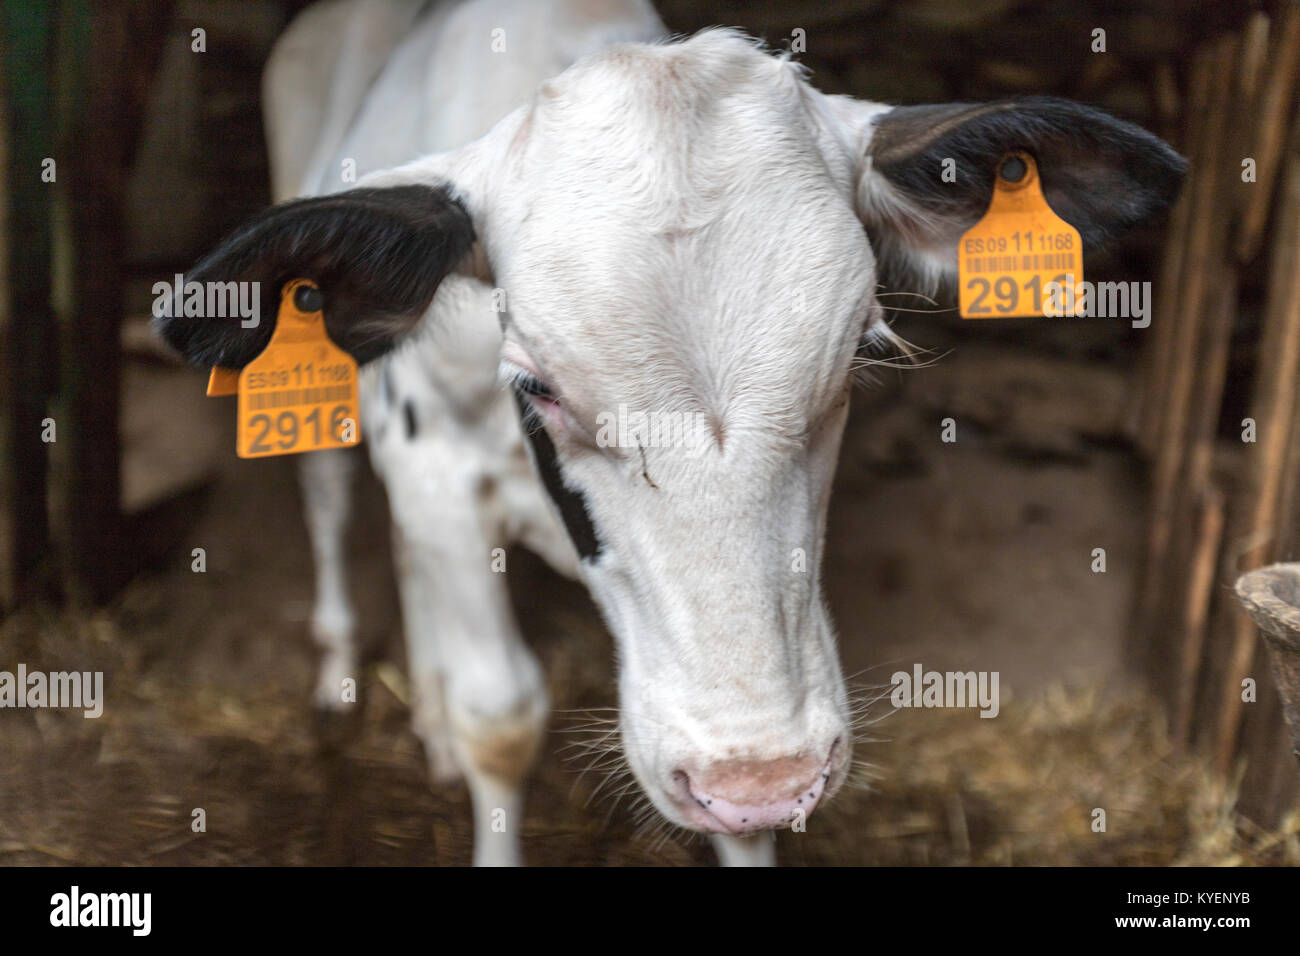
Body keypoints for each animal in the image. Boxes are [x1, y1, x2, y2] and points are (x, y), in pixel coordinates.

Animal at [156, 0, 1185, 866]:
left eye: (858, 349)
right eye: (536, 384)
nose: (760, 776)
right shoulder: (438, 468)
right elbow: (503, 717)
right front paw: (461, 725)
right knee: (331, 499)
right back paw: (340, 676)